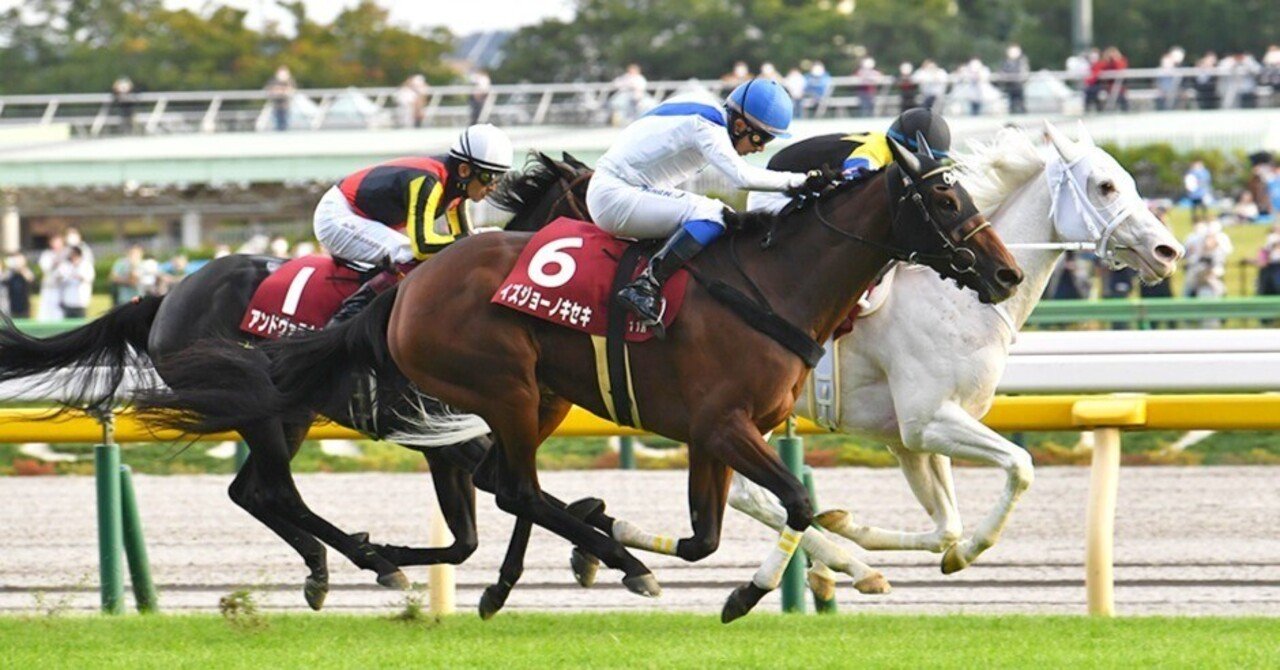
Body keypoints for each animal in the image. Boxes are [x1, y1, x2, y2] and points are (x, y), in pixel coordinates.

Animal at [0, 152, 601, 614]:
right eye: (595, 195)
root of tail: (166, 297)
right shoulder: (441, 436)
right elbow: (493, 513)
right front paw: (594, 544)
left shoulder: (470, 433)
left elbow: (493, 521)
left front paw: (592, 536)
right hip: (263, 410)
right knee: (274, 492)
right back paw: (370, 560)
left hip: (288, 413)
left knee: (250, 492)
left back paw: (324, 566)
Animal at [133, 138, 1025, 622]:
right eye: (946, 199)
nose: (1007, 274)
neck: (776, 285)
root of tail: (406, 291)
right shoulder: (724, 424)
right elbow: (795, 504)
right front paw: (741, 591)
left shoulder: (713, 433)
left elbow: (707, 535)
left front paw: (624, 540)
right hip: (501, 389)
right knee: (508, 487)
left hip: (523, 399)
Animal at [726, 122, 1184, 592]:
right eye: (1105, 186)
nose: (1168, 252)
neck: (957, 296)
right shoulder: (927, 421)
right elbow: (1020, 466)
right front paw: (965, 553)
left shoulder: (913, 435)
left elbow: (947, 525)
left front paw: (850, 524)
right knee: (748, 495)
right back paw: (841, 569)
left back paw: (845, 566)